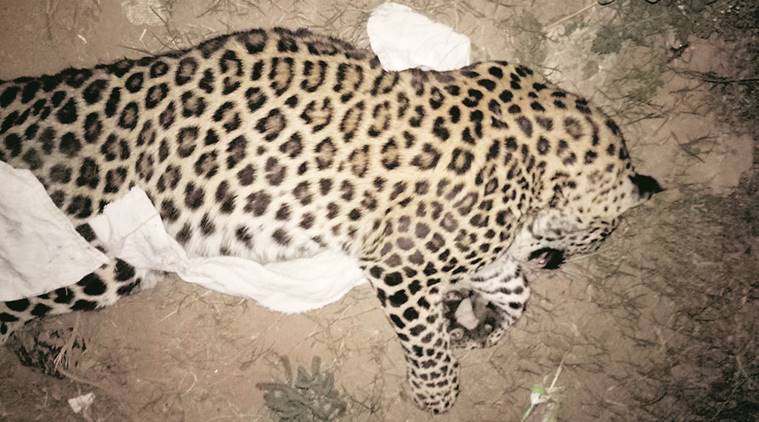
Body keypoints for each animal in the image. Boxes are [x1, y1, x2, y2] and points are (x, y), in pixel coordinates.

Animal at [0, 27, 662, 413]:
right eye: (595, 239)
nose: (557, 260)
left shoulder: (476, 253)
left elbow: (511, 291)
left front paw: (476, 322)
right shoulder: (402, 264)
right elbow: (428, 341)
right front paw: (438, 393)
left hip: (117, 265)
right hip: (82, 247)